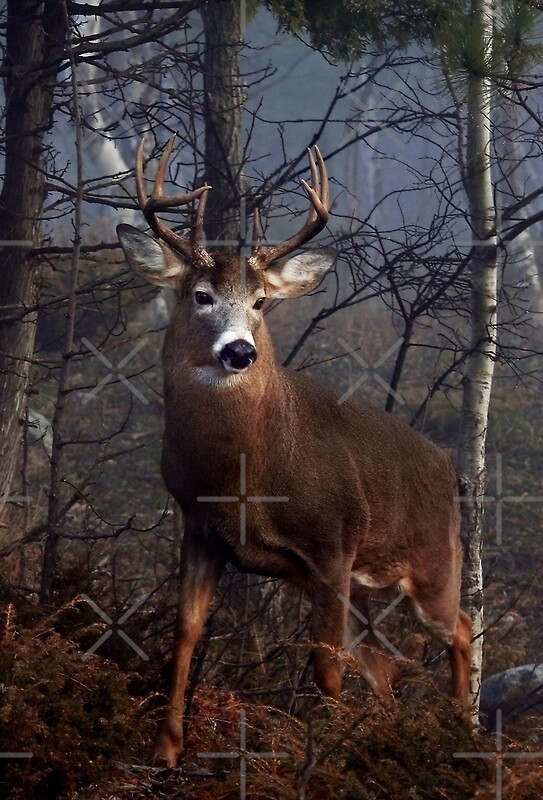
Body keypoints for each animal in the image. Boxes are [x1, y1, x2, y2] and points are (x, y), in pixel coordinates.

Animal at [117, 137, 472, 767]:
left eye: (261, 301)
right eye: (201, 295)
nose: (239, 351)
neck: (243, 477)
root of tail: (448, 468)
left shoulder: (331, 543)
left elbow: (325, 666)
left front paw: (320, 758)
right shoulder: (201, 530)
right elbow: (185, 635)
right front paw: (165, 750)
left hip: (433, 561)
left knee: (461, 628)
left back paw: (468, 736)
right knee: (385, 664)